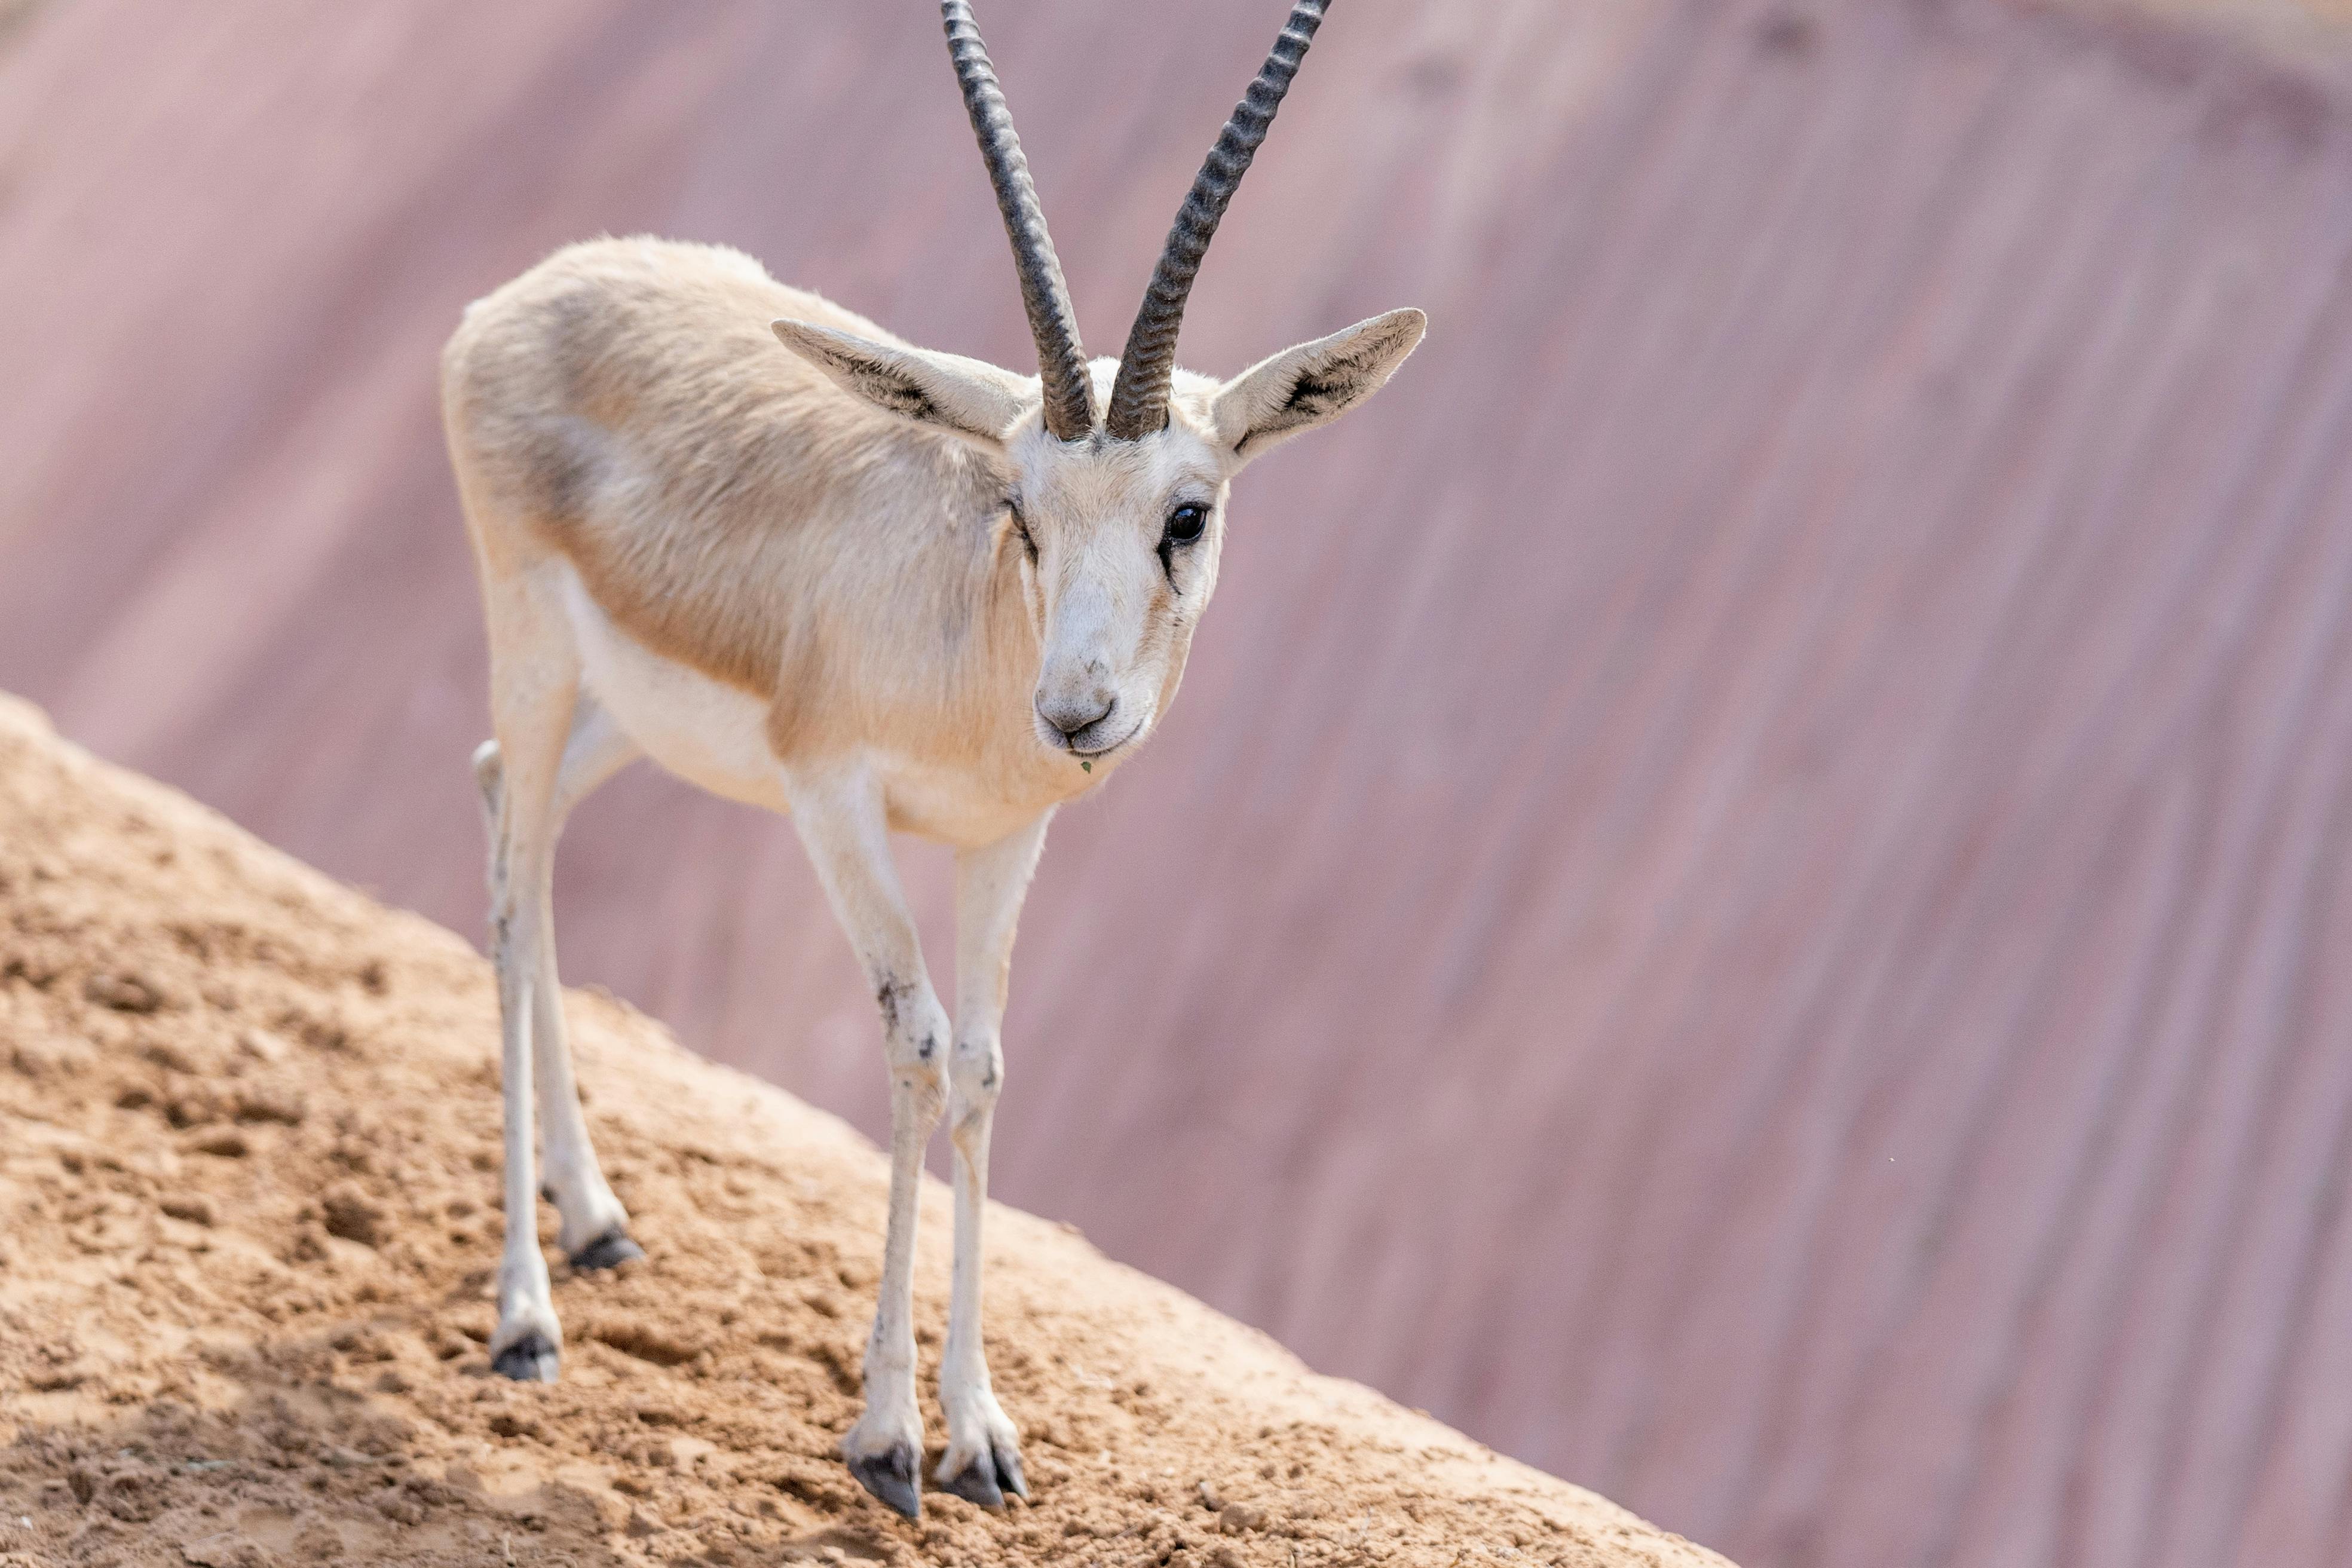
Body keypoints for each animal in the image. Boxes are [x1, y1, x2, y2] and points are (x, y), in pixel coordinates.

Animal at [441, 0, 1421, 1519]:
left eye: (1187, 511)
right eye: (1018, 505)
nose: (1076, 713)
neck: (971, 638)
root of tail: (534, 292)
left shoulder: (1000, 839)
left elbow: (982, 1063)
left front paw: (980, 1432)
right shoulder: (829, 799)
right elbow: (909, 1043)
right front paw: (889, 1436)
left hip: (623, 717)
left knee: (514, 817)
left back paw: (598, 1220)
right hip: (535, 645)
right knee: (505, 878)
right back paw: (527, 1312)